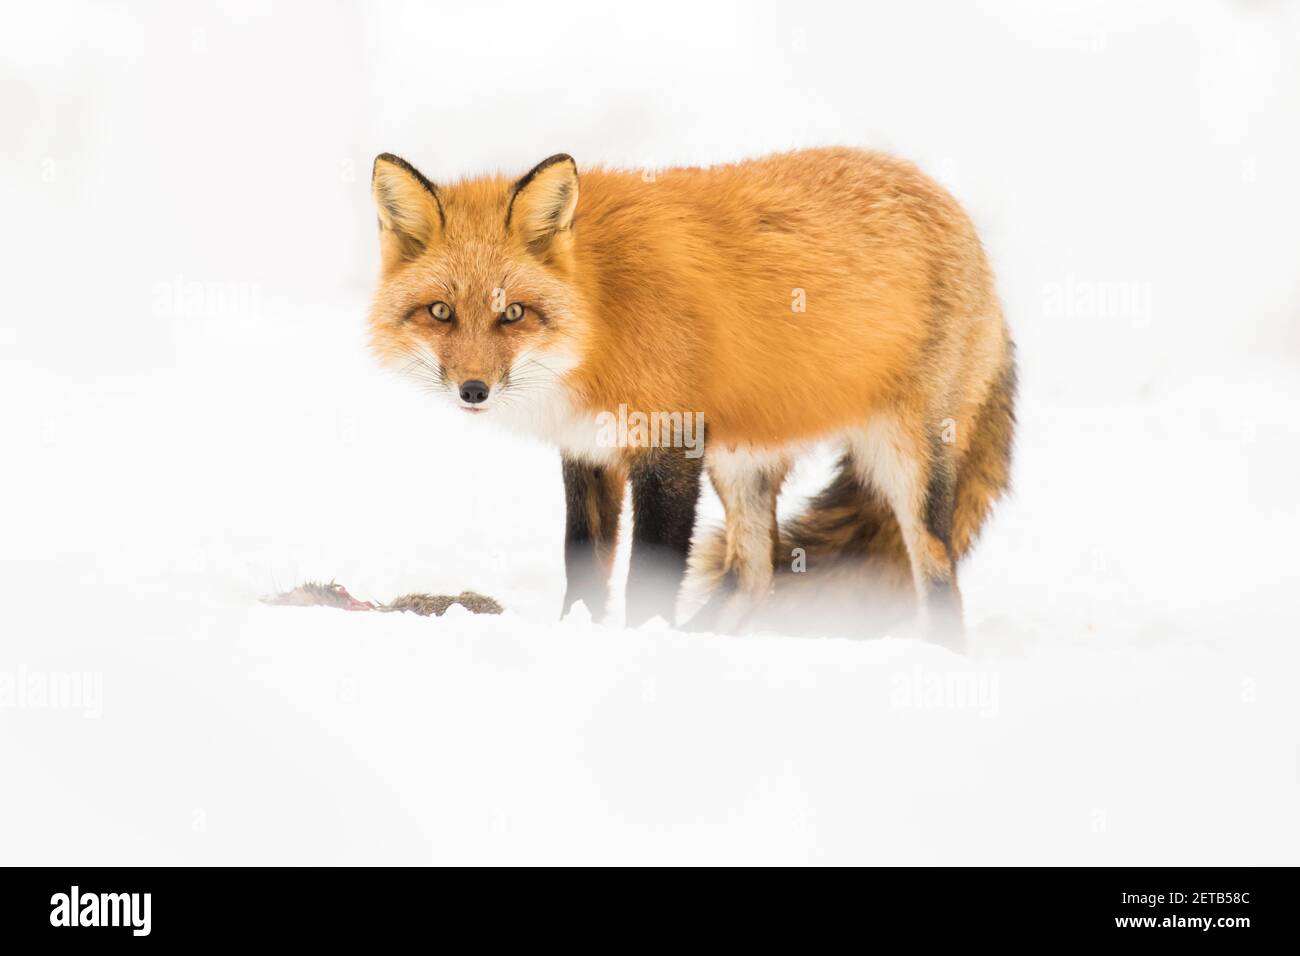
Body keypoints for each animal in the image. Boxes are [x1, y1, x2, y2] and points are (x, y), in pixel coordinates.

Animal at [366, 147, 1016, 645]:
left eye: (514, 314)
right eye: (441, 312)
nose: (473, 390)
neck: (601, 315)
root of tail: (947, 202)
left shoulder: (670, 446)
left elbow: (649, 578)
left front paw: (643, 641)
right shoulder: (588, 452)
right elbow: (584, 570)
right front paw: (582, 634)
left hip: (906, 462)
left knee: (939, 577)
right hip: (743, 461)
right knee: (756, 573)